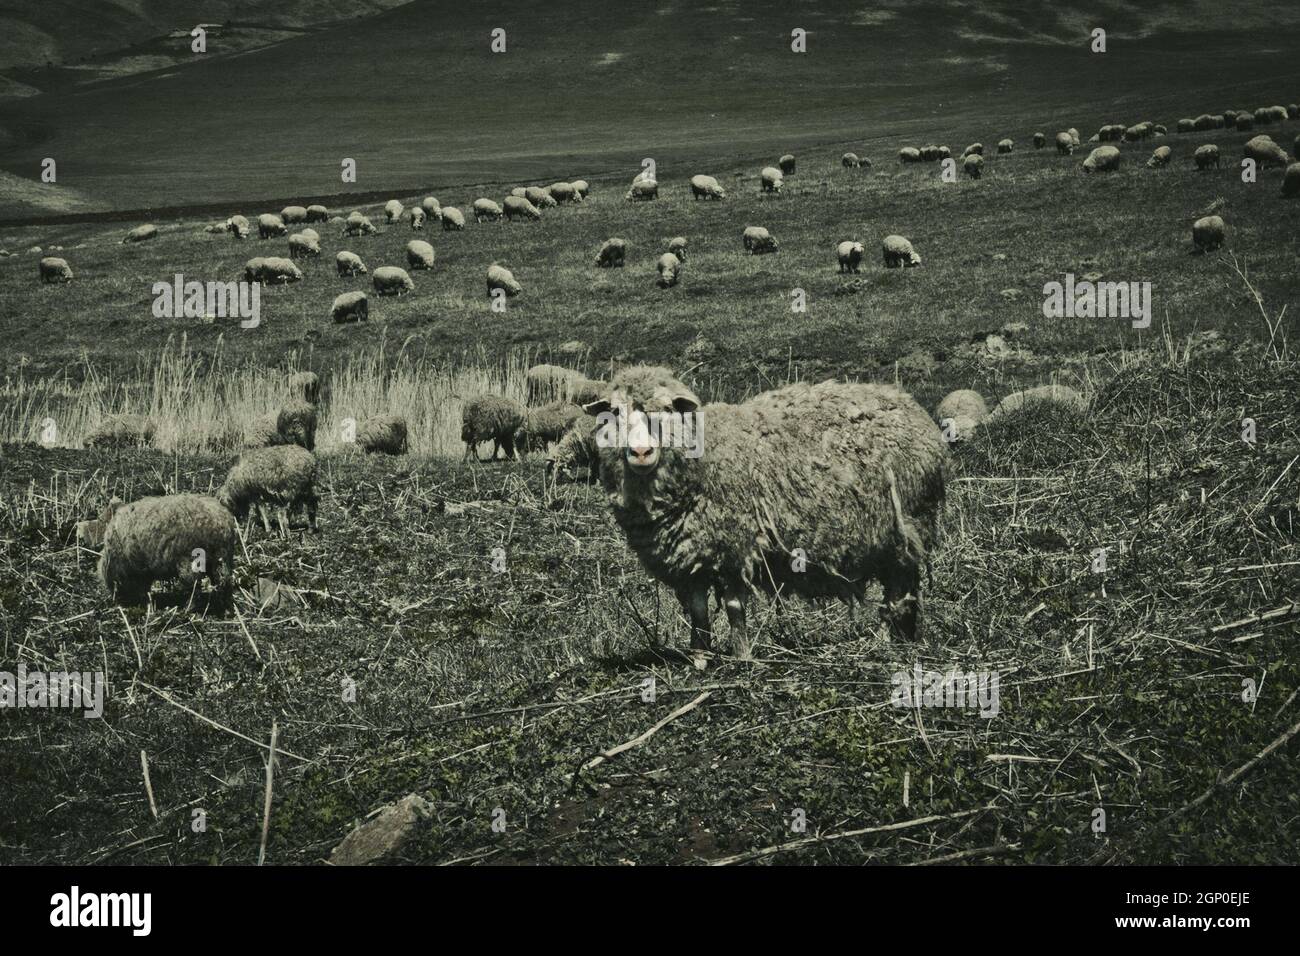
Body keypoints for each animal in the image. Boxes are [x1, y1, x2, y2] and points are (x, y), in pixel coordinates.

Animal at [97, 494, 237, 608]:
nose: (118, 602)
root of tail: (223, 521)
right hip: (222, 558)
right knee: (224, 580)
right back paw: (223, 603)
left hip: (191, 560)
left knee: (195, 586)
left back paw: (188, 608)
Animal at [584, 366, 946, 657]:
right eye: (613, 412)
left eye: (667, 410)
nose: (640, 452)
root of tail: (909, 404)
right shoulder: (693, 554)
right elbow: (698, 611)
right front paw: (699, 657)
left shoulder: (733, 544)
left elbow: (734, 607)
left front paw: (742, 657)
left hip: (907, 526)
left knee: (901, 590)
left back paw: (890, 643)